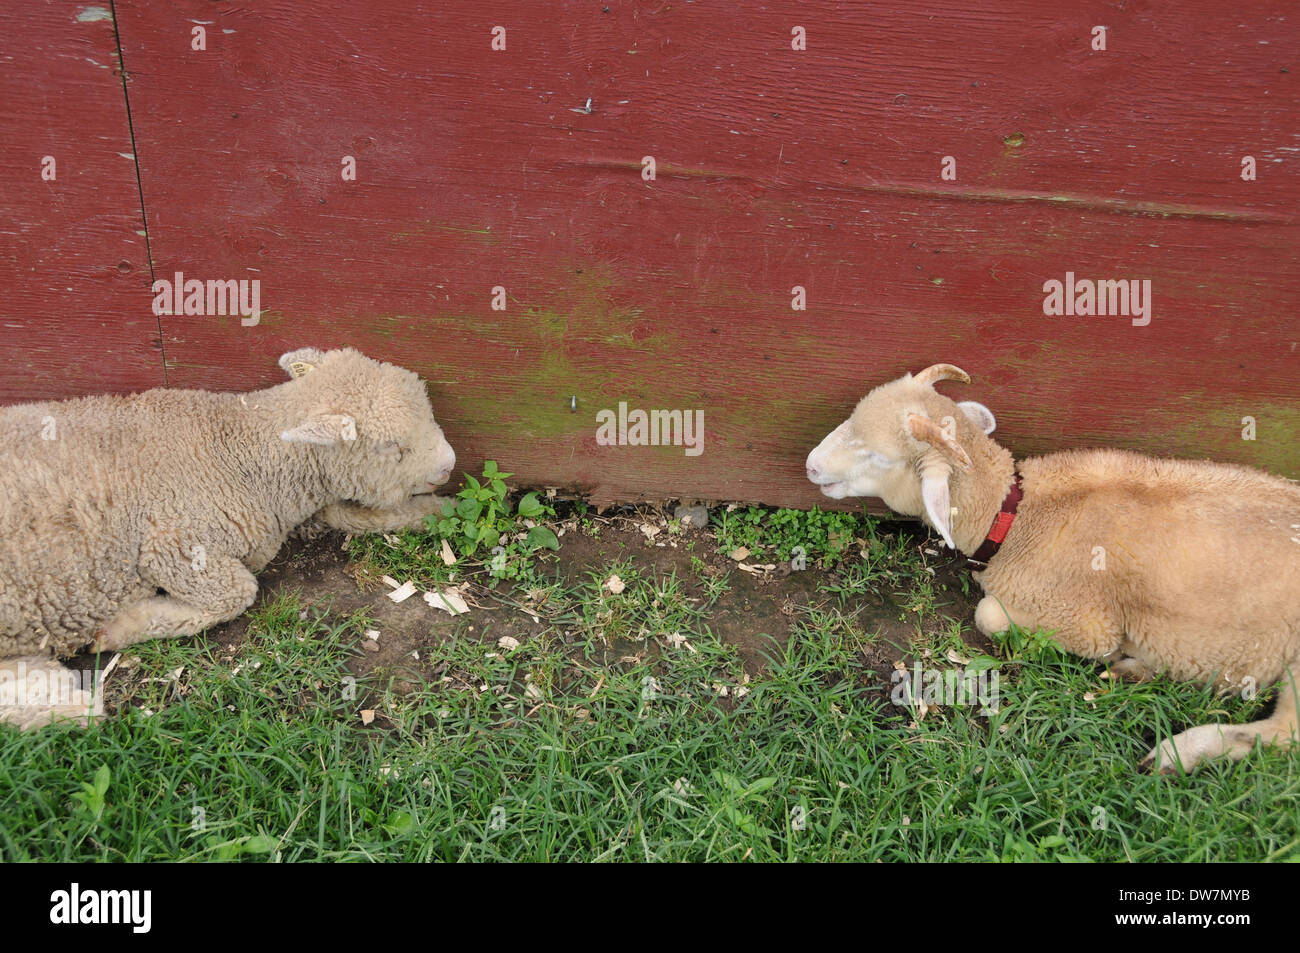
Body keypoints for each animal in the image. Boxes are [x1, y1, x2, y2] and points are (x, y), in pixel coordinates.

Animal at [0, 347, 456, 728]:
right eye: (390, 447)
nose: (449, 465)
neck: (241, 451)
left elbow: (359, 515)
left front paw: (439, 512)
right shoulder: (173, 546)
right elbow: (237, 592)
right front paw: (122, 625)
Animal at [805, 363, 1300, 773]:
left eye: (879, 457)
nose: (810, 465)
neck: (1018, 515)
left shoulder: (1086, 623)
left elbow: (988, 614)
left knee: (1284, 736)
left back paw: (1177, 751)